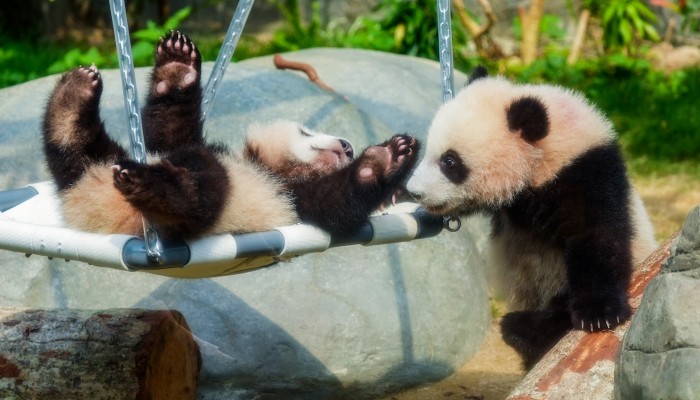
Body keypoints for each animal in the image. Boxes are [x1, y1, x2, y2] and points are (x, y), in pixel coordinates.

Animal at [42, 31, 418, 240]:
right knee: (78, 153)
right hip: (101, 165)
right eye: (306, 130)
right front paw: (176, 66)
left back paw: (151, 184)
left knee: (203, 191)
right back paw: (70, 99)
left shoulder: (294, 202)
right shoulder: (196, 145)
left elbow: (337, 203)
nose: (348, 146)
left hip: (204, 211)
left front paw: (384, 160)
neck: (276, 170)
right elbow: (168, 134)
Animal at [406, 66, 657, 369]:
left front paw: (599, 313)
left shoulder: (585, 174)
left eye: (450, 161)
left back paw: (522, 329)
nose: (414, 191)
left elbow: (597, 234)